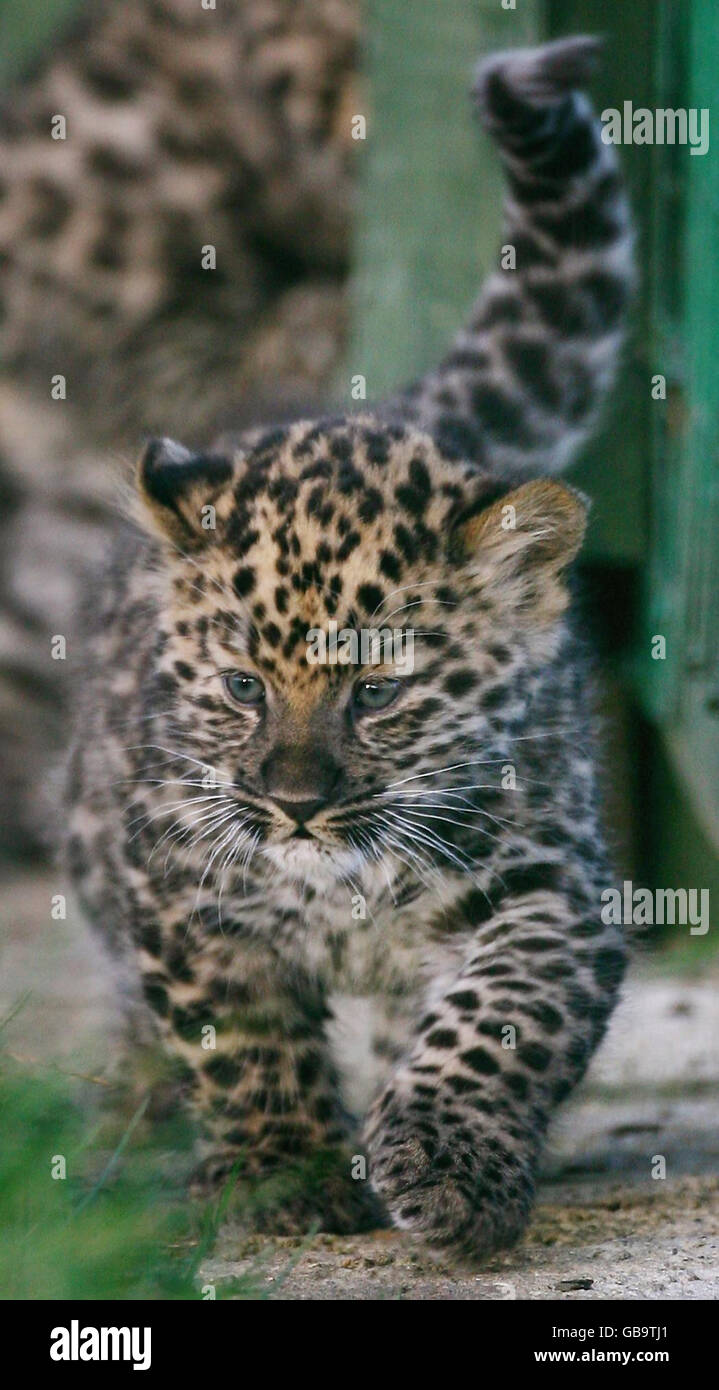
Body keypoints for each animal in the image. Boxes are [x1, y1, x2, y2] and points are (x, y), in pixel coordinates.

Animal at [65, 36, 634, 1254]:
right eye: (240, 685)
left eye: (377, 694)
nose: (292, 806)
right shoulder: (180, 888)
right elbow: (239, 1037)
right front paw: (284, 1172)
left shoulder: (549, 886)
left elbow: (497, 1018)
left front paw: (449, 1162)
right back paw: (130, 1121)